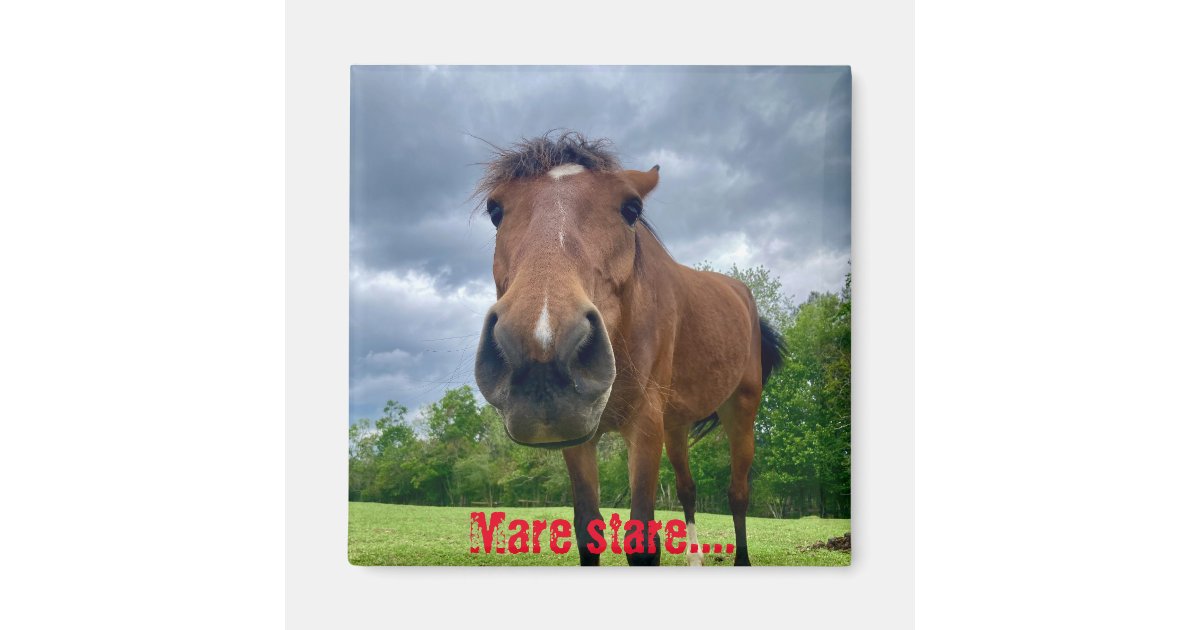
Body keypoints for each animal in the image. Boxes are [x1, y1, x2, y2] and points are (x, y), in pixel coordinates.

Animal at [473, 132, 785, 566]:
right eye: (495, 210)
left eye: (631, 208)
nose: (541, 351)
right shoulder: (580, 435)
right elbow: (588, 531)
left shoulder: (645, 423)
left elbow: (643, 540)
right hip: (676, 425)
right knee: (688, 490)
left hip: (740, 411)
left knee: (738, 494)